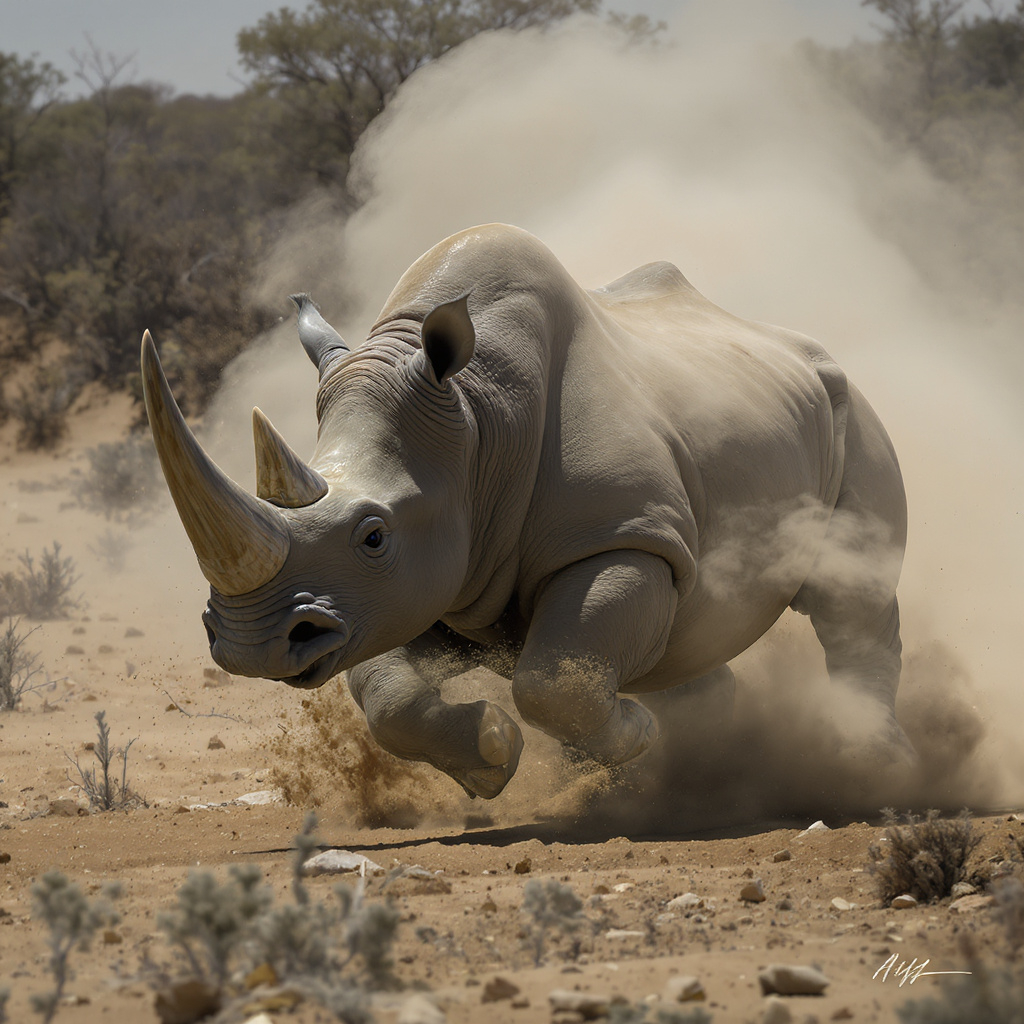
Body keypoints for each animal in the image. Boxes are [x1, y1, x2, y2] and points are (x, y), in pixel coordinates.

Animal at [142, 223, 910, 799]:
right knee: (680, 643)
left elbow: (551, 680)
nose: (250, 646)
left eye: (373, 536)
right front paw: (491, 754)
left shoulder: (625, 537)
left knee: (849, 593)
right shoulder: (424, 585)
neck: (477, 422)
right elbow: (384, 692)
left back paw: (869, 763)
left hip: (848, 406)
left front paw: (633, 735)